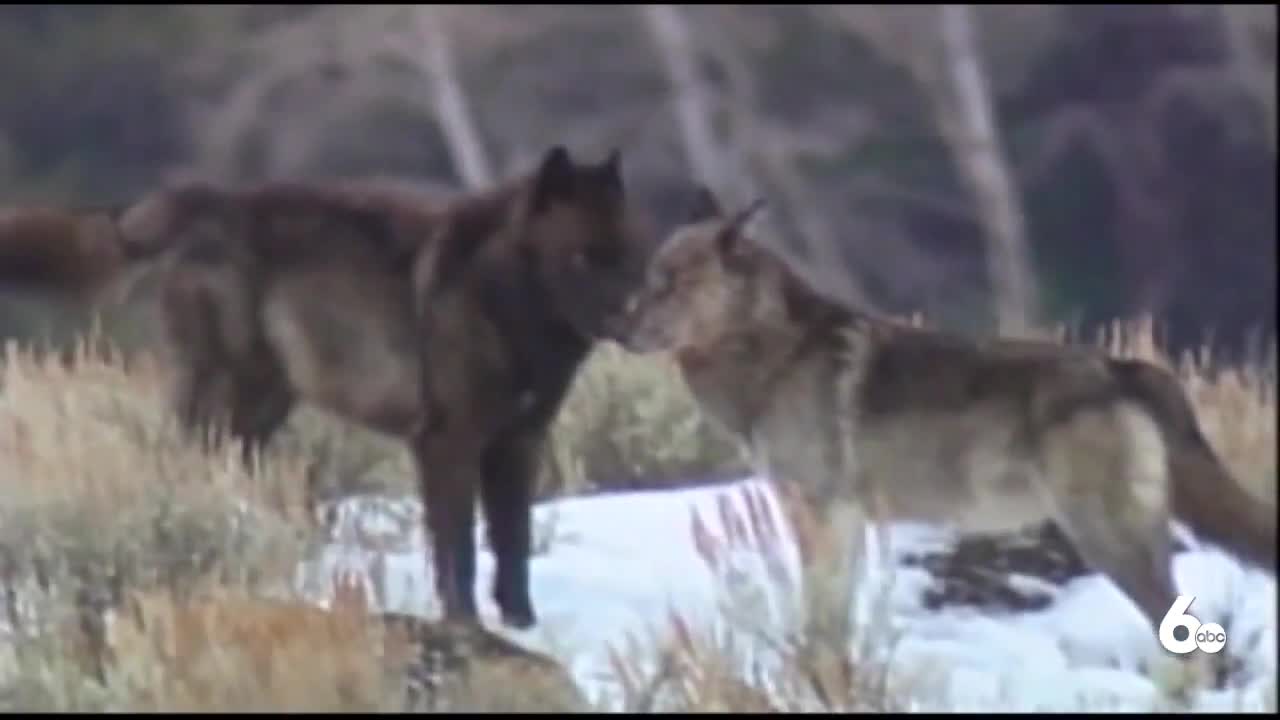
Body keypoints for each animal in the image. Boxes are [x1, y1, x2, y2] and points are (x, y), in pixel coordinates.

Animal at [0, 146, 657, 630]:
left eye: (629, 256)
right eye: (583, 257)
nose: (638, 318)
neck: (500, 298)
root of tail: (211, 197)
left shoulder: (517, 445)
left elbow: (513, 543)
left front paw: (522, 625)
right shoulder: (447, 443)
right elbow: (459, 552)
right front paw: (466, 626)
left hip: (261, 410)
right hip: (226, 399)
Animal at [616, 185, 1276, 645]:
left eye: (669, 284)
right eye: (649, 278)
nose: (615, 329)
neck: (774, 354)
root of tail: (1124, 367)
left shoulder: (823, 511)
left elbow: (820, 625)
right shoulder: (843, 519)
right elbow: (833, 627)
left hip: (1107, 540)